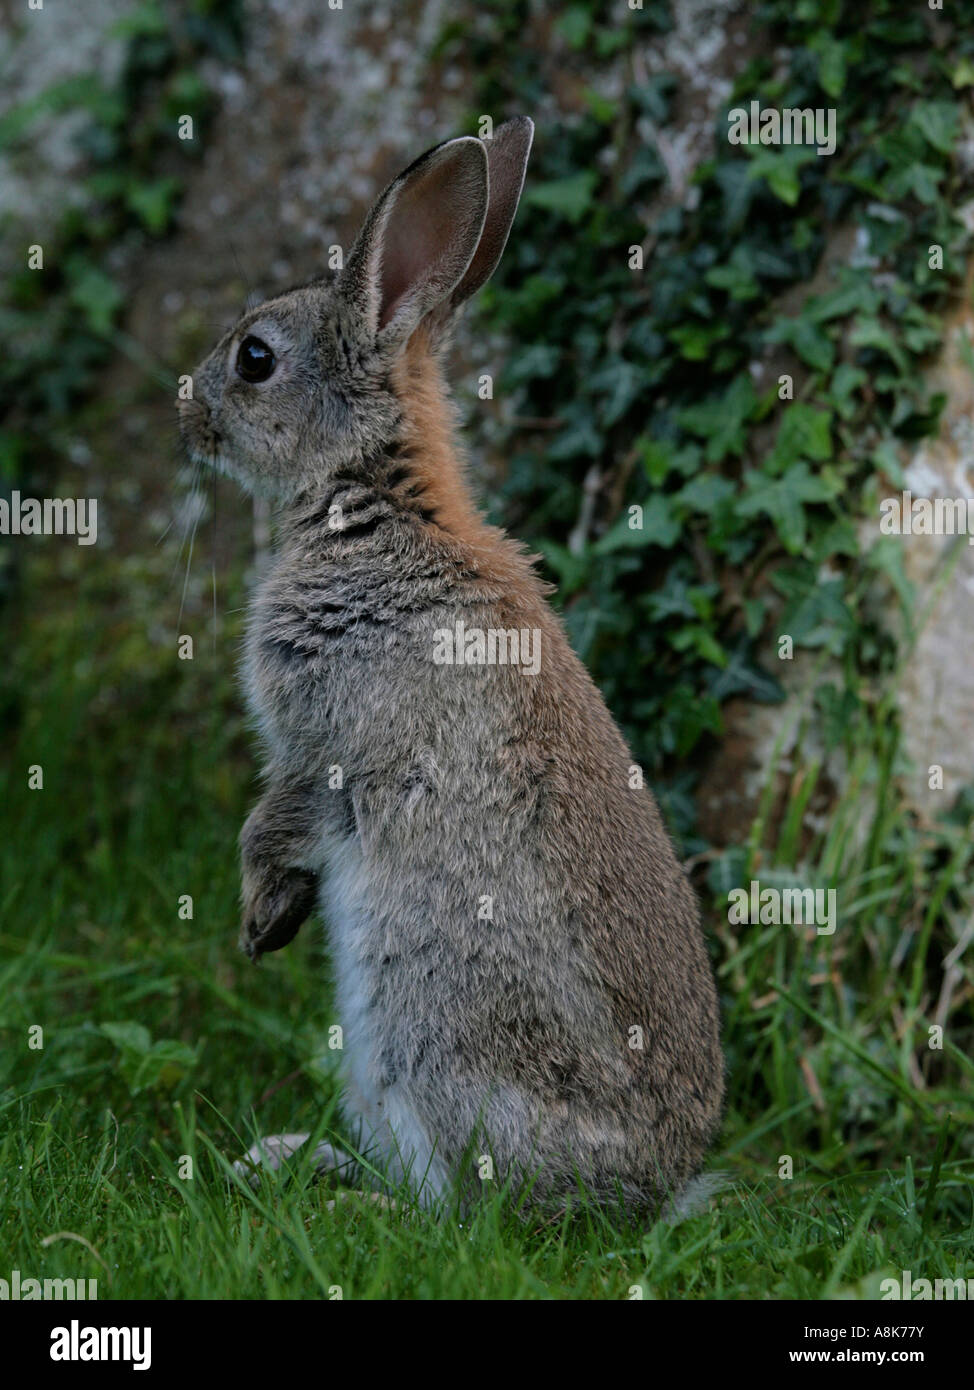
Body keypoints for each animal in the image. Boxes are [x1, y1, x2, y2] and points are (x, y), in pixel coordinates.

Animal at [178, 117, 725, 1216]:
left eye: (255, 358)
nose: (188, 414)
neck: (378, 502)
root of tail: (651, 1187)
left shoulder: (326, 742)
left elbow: (276, 821)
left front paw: (258, 921)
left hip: (423, 1034)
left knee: (466, 1218)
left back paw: (347, 1196)